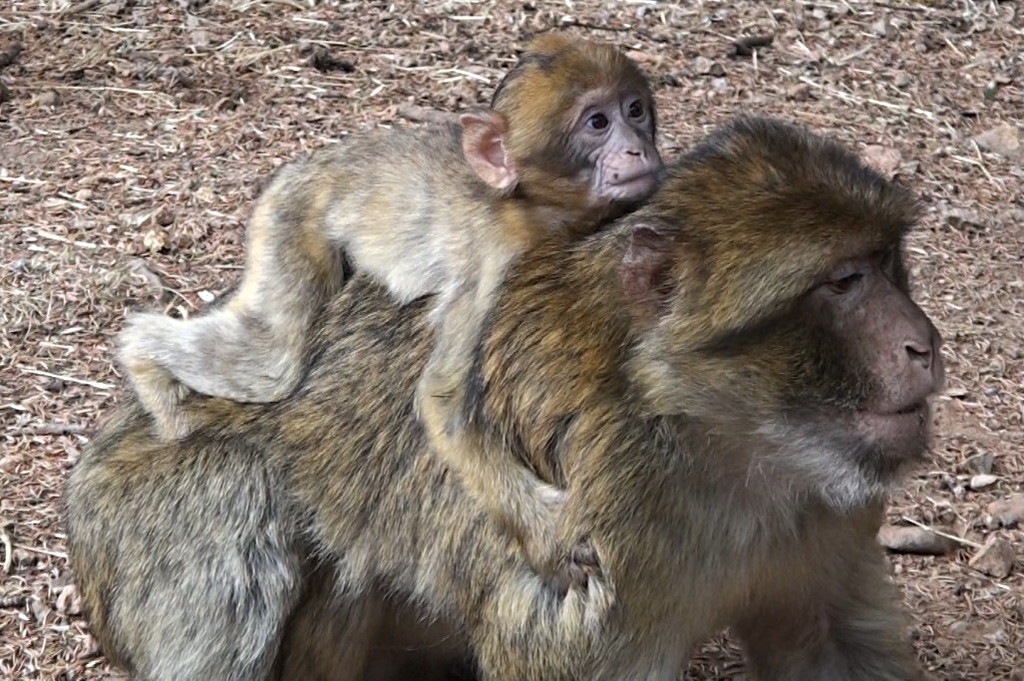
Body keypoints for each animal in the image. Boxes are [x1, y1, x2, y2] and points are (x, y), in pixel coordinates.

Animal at [67, 117, 943, 681]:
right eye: (842, 283)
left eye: (886, 260)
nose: (923, 342)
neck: (720, 441)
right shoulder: (605, 525)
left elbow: (832, 646)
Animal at [117, 34, 663, 582]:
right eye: (597, 123)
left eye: (634, 110)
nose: (637, 147)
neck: (529, 206)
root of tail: (314, 164)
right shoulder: (493, 265)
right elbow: (442, 399)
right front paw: (543, 536)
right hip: (291, 216)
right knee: (272, 361)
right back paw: (145, 361)